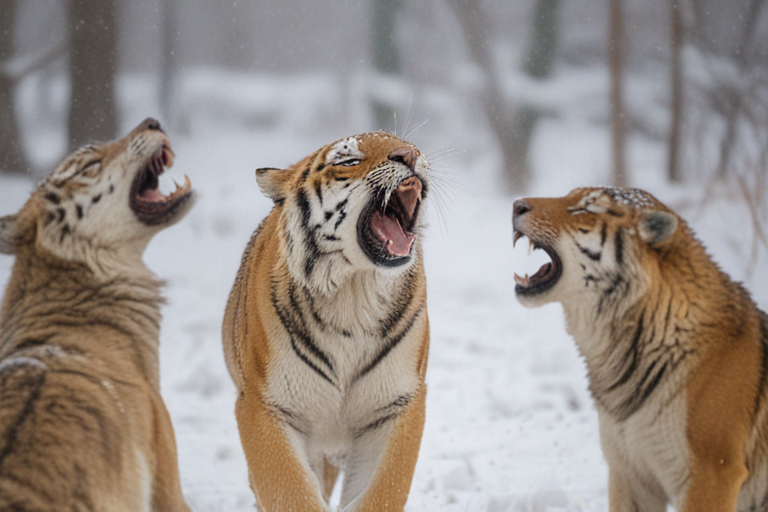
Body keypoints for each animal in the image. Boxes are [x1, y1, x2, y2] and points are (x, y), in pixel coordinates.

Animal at [222, 132, 431, 512]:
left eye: (407, 144)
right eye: (348, 161)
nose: (409, 155)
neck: (354, 296)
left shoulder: (395, 405)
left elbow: (383, 490)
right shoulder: (264, 406)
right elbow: (289, 491)